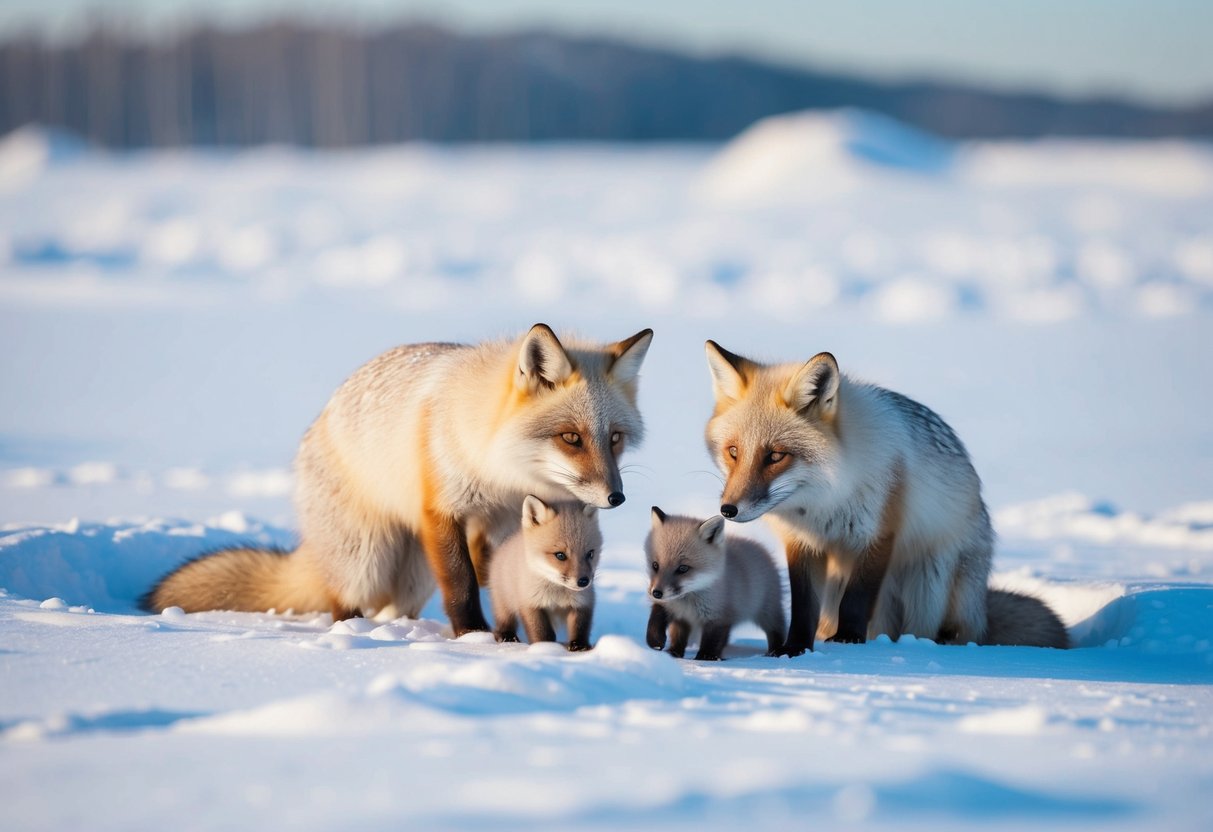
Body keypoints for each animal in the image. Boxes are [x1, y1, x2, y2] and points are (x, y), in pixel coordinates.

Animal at [489, 495, 602, 650]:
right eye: (560, 555)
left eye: (590, 554)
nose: (584, 581)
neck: (557, 594)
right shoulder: (531, 603)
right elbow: (542, 633)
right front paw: (544, 648)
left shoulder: (583, 602)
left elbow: (580, 628)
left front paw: (580, 646)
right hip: (504, 602)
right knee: (504, 620)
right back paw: (506, 636)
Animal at [644, 507, 786, 661]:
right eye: (655, 565)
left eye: (683, 568)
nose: (656, 593)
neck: (688, 601)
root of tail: (758, 547)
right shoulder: (676, 611)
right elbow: (656, 620)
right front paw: (658, 643)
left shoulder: (719, 617)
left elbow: (712, 640)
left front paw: (706, 657)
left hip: (768, 612)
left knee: (778, 630)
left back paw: (775, 652)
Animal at [703, 341, 1068, 655]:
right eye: (733, 452)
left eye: (776, 456)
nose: (728, 510)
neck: (827, 499)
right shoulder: (803, 542)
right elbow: (804, 605)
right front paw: (794, 650)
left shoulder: (878, 531)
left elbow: (857, 597)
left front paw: (848, 641)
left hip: (928, 581)